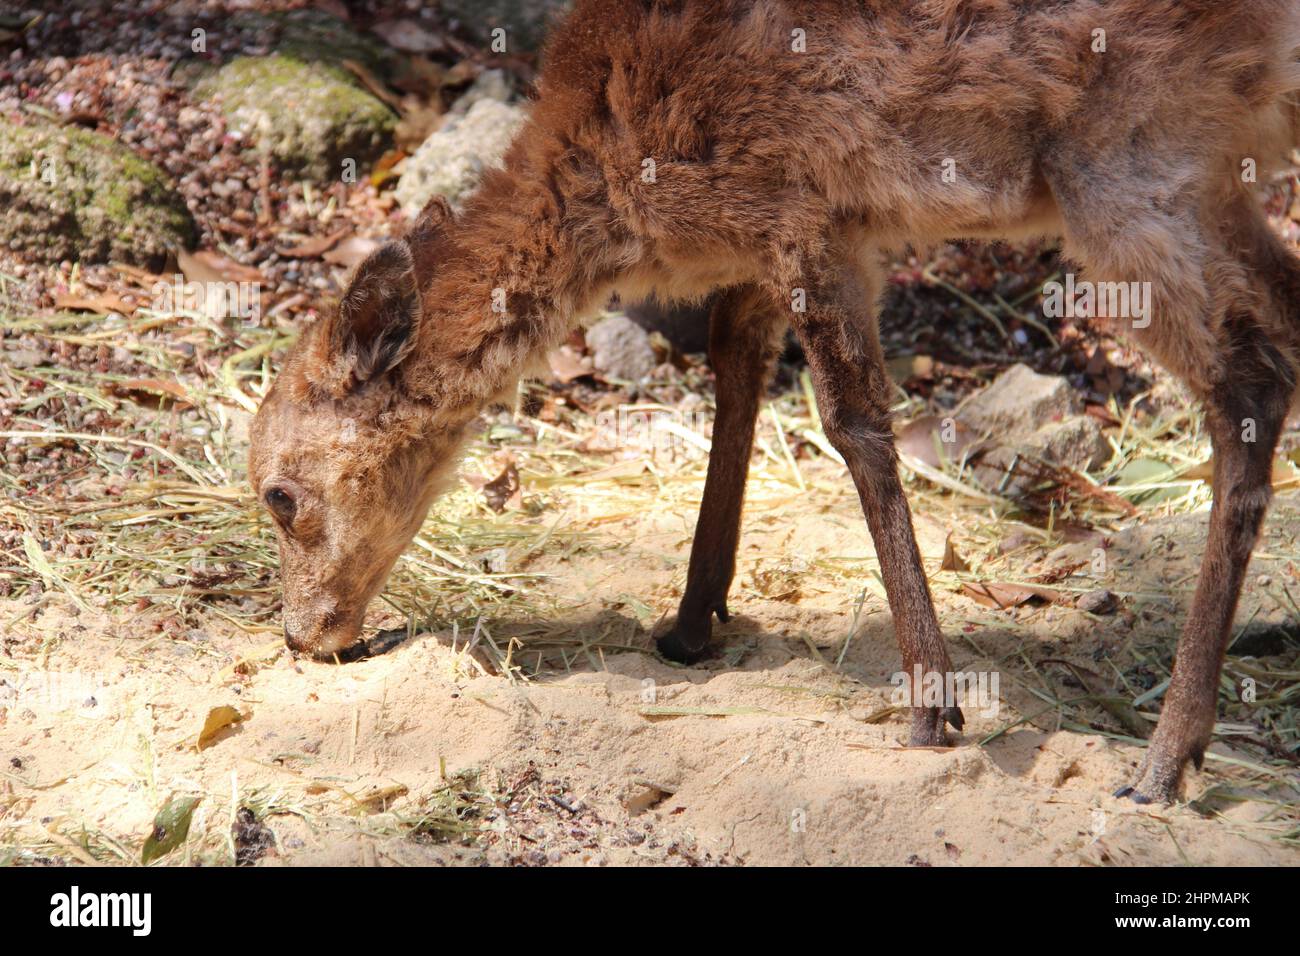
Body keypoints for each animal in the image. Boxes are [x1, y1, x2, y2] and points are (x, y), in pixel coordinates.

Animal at [249, 0, 1300, 804]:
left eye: (279, 495)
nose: (304, 636)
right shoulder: (781, 240)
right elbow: (735, 360)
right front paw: (688, 622)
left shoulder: (806, 206)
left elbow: (854, 424)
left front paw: (933, 706)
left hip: (1131, 159)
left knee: (1250, 382)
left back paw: (1165, 760)